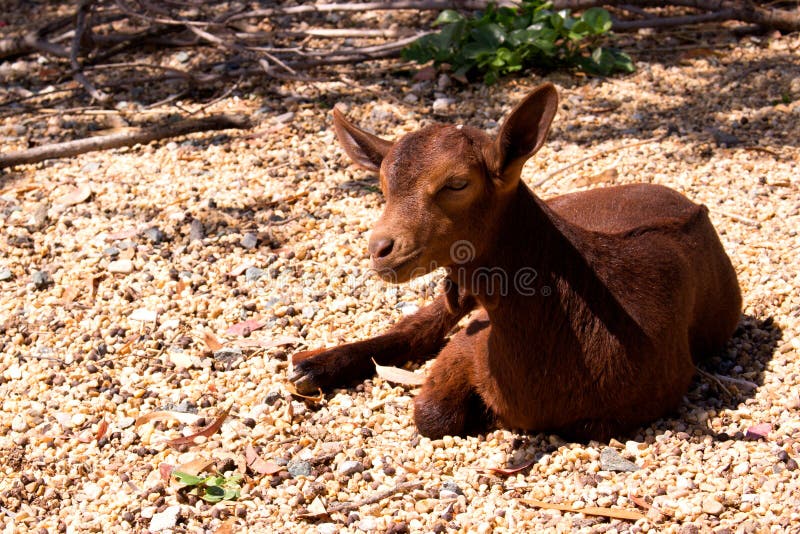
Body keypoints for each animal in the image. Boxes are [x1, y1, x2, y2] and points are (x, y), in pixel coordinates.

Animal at [290, 83, 742, 441]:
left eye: (457, 183)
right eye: (382, 186)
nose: (380, 248)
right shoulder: (469, 342)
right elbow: (432, 414)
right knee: (418, 326)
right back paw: (312, 367)